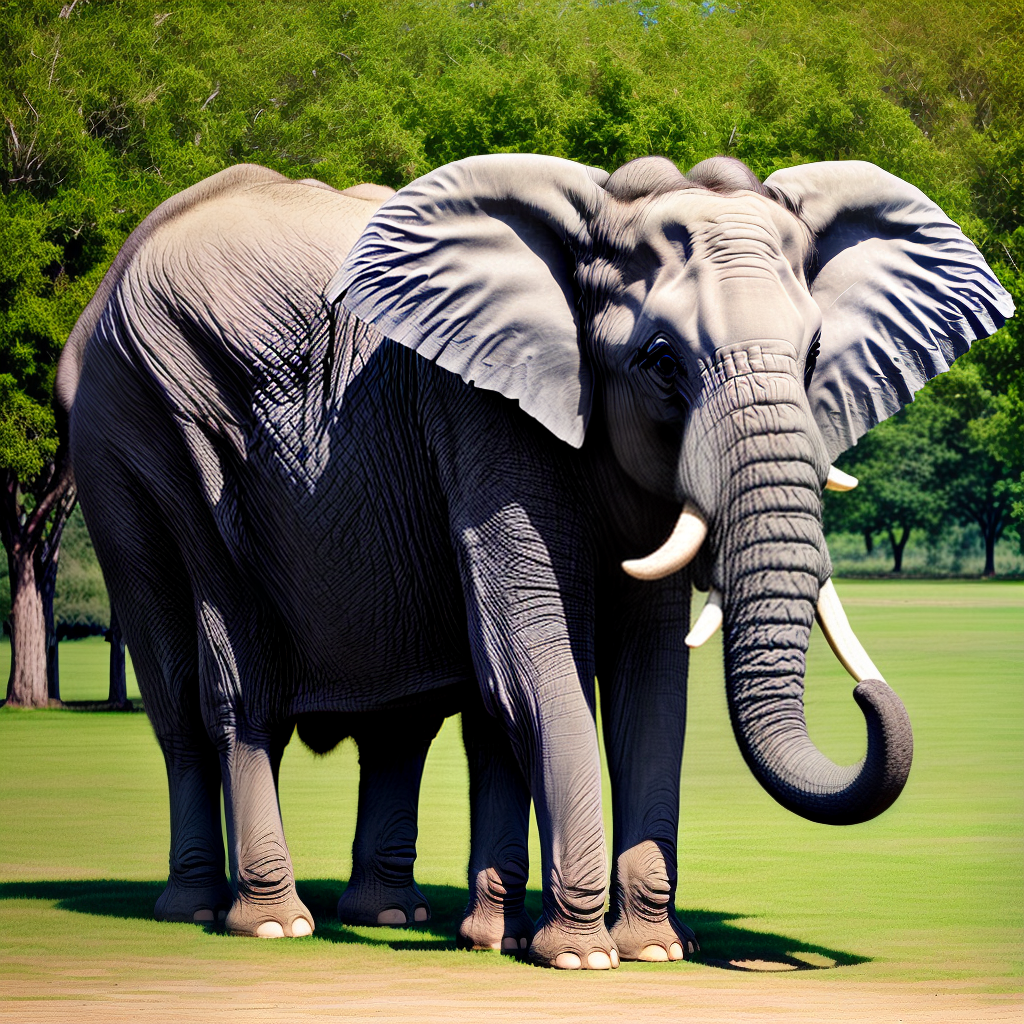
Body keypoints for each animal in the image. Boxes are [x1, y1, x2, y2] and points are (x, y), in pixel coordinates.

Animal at [56, 151, 1012, 969]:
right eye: (661, 363)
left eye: (815, 356)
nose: (868, 696)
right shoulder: (482, 411)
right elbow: (536, 653)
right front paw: (582, 953)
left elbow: (646, 678)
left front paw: (645, 948)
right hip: (140, 427)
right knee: (216, 681)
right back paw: (248, 919)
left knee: (398, 718)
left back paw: (391, 915)